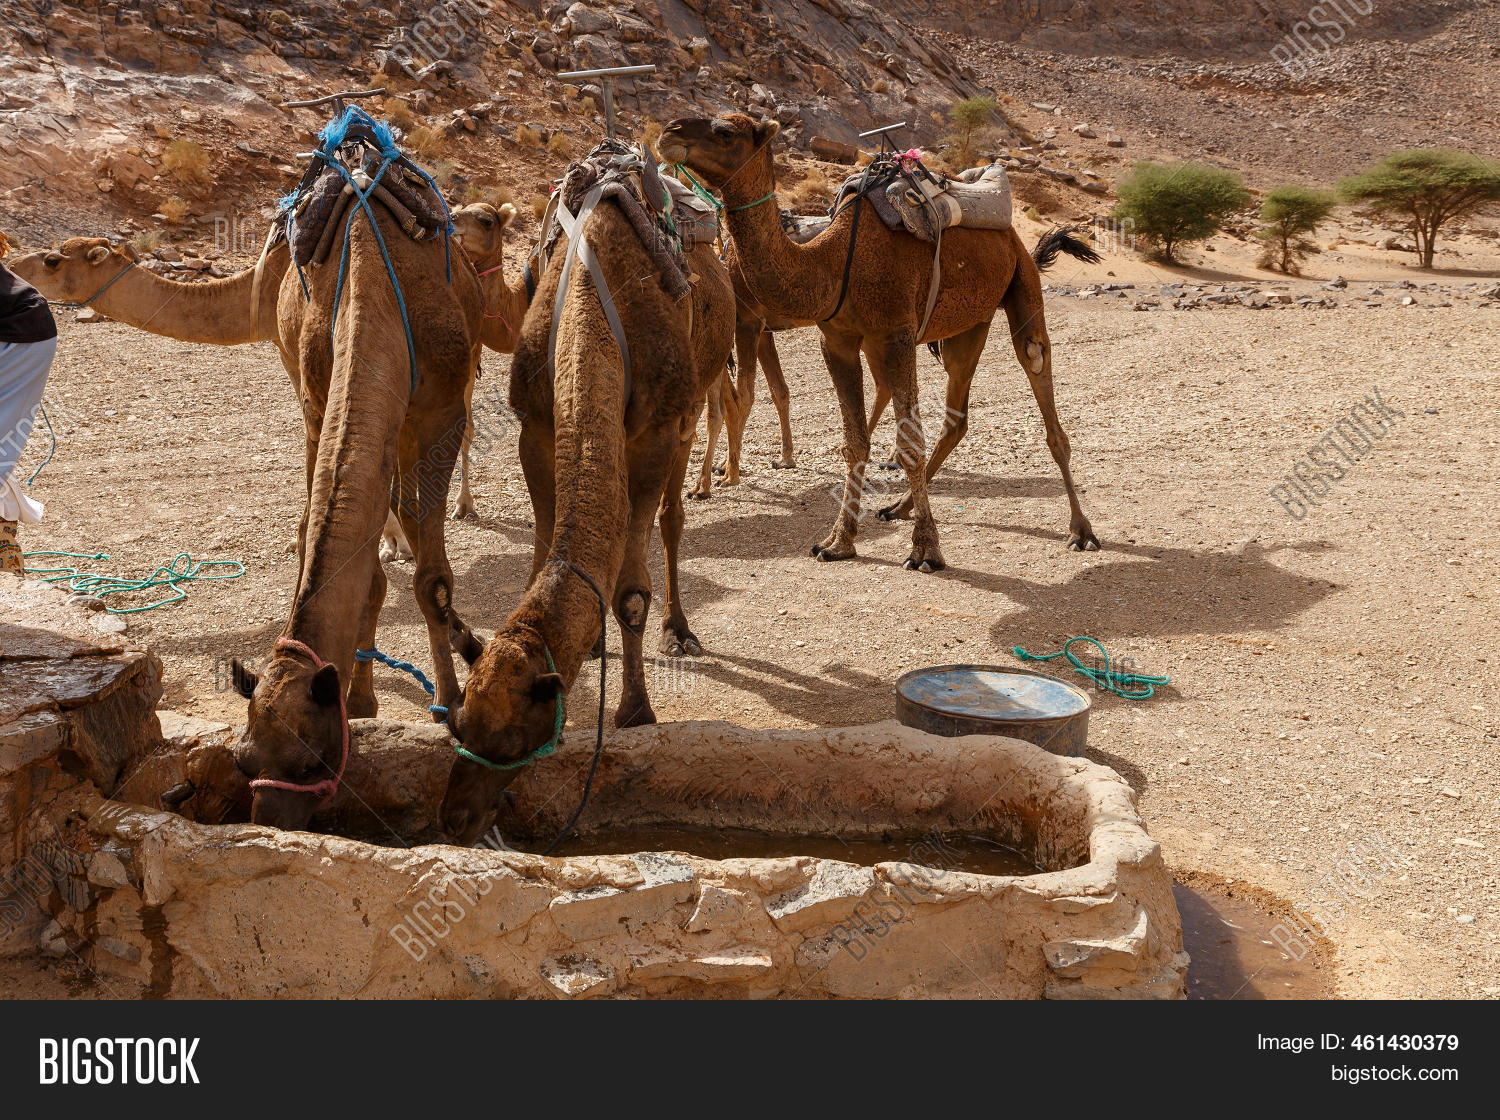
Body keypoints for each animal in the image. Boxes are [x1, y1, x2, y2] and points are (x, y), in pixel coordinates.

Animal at [224, 193, 484, 832]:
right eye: (242, 760)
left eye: (312, 760)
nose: (269, 821)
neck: (377, 304)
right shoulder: (320, 399)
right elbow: (354, 559)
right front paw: (361, 699)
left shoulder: (440, 415)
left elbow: (431, 579)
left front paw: (452, 702)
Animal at [438, 172, 735, 845]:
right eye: (457, 724)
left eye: (513, 740)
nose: (454, 818)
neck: (592, 325)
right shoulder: (539, 426)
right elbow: (542, 555)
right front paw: (591, 642)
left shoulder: (654, 433)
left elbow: (631, 591)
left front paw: (636, 709)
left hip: (691, 406)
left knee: (673, 522)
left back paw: (680, 629)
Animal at [660, 114, 1100, 571]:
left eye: (727, 132)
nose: (669, 132)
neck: (833, 261)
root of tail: (1014, 233)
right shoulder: (837, 339)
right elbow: (854, 442)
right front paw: (837, 541)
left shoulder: (895, 334)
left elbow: (909, 444)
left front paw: (925, 550)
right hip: (968, 323)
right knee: (955, 415)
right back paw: (898, 506)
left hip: (1021, 284)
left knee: (1039, 376)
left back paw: (1081, 530)